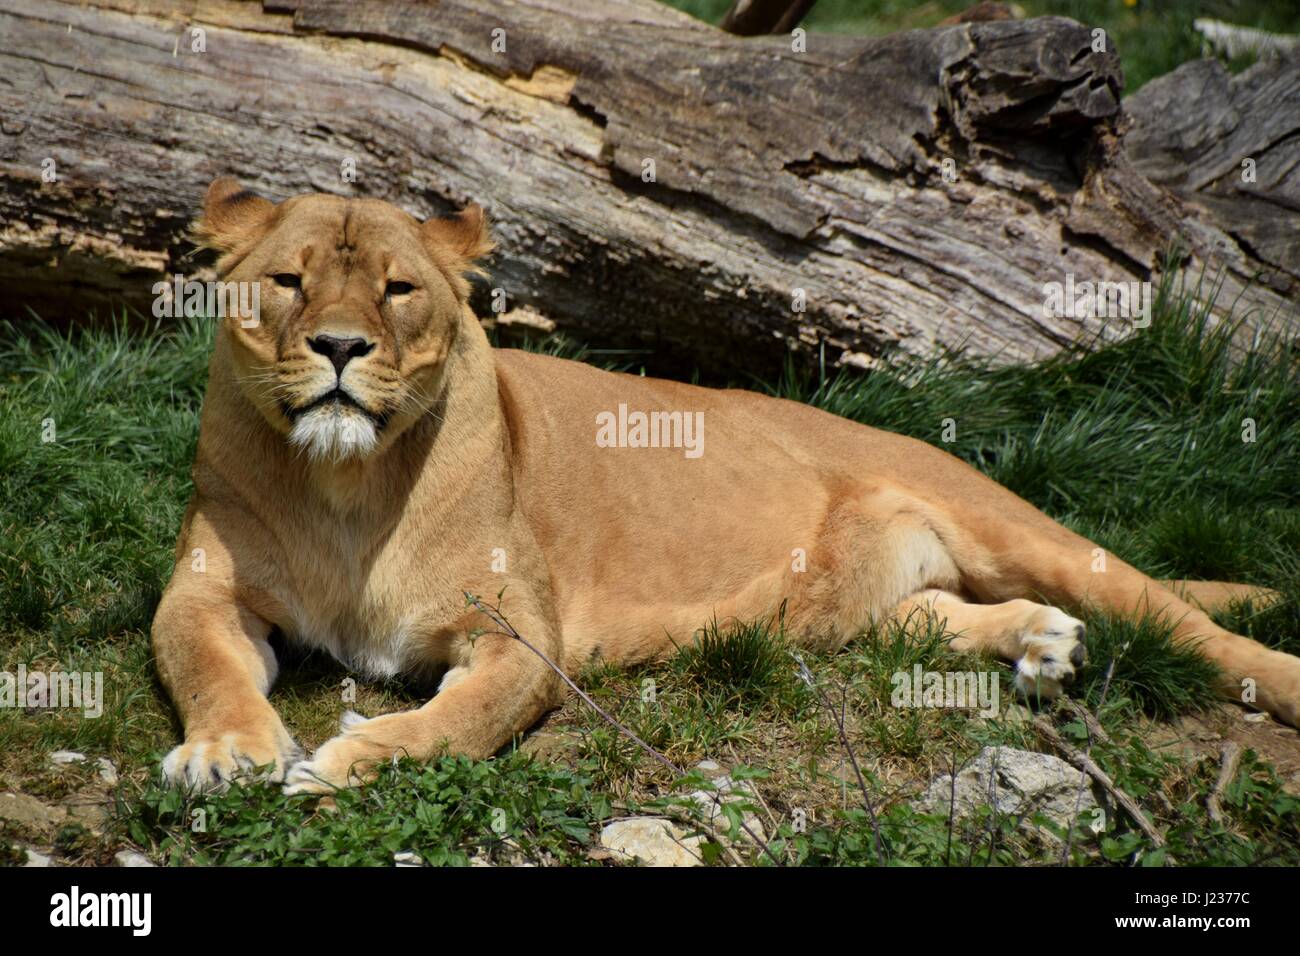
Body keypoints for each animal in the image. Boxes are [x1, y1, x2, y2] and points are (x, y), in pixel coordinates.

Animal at [152, 177, 1300, 794]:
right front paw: (225, 750)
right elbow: (207, 662)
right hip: (858, 612)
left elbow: (456, 721)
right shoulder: (203, 590)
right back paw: (1040, 644)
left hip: (1017, 526)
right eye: (289, 281)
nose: (341, 347)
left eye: (396, 290)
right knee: (934, 615)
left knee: (1194, 628)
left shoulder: (520, 635)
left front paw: (349, 760)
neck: (344, 485)